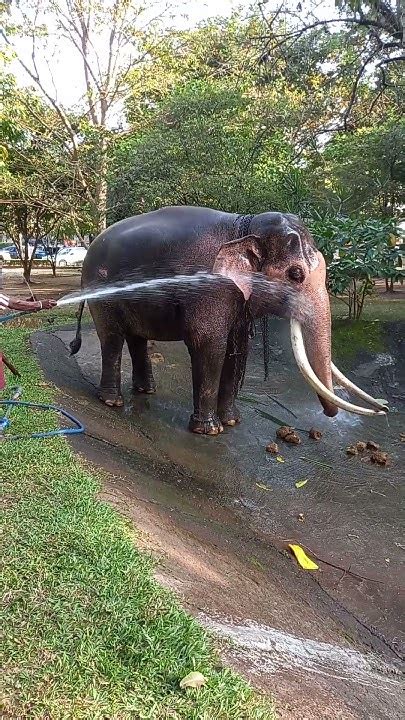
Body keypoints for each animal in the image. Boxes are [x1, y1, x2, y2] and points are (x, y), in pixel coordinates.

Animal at [70, 206, 387, 435]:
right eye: (295, 274)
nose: (384, 410)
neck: (243, 226)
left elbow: (238, 351)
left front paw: (233, 422)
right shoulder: (209, 289)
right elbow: (211, 346)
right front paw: (209, 431)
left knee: (137, 337)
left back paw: (146, 390)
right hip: (101, 289)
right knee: (112, 337)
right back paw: (112, 401)